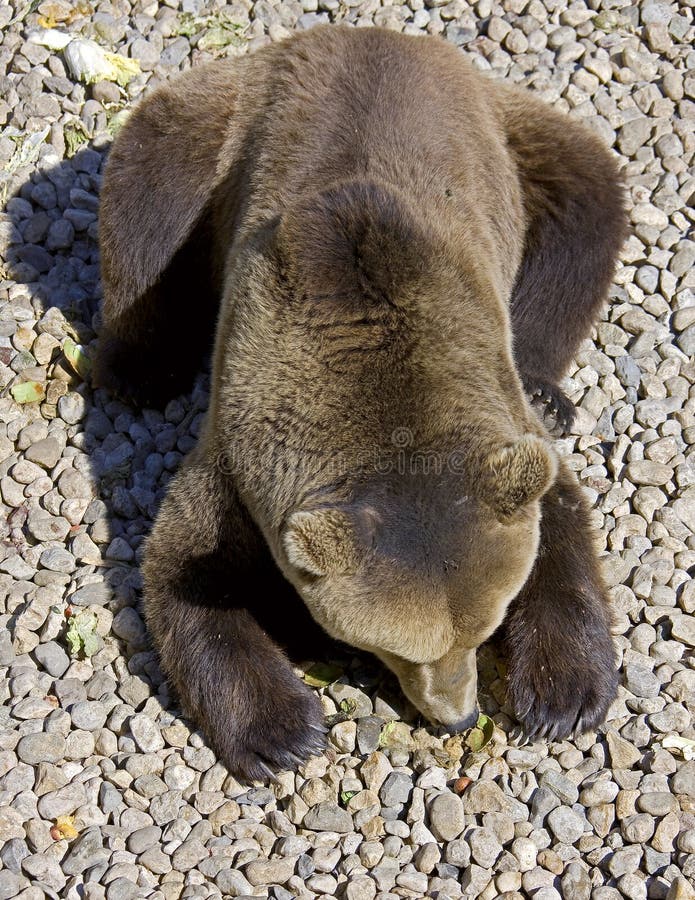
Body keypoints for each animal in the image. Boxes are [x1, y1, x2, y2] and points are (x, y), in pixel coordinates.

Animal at [94, 25, 627, 781]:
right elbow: (182, 567)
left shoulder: (490, 404)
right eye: (400, 648)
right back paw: (141, 367)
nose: (455, 714)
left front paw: (563, 695)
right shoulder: (240, 447)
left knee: (584, 202)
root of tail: (366, 30)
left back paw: (548, 390)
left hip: (519, 144)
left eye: (486, 625)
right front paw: (282, 731)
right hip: (213, 128)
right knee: (147, 198)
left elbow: (557, 517)